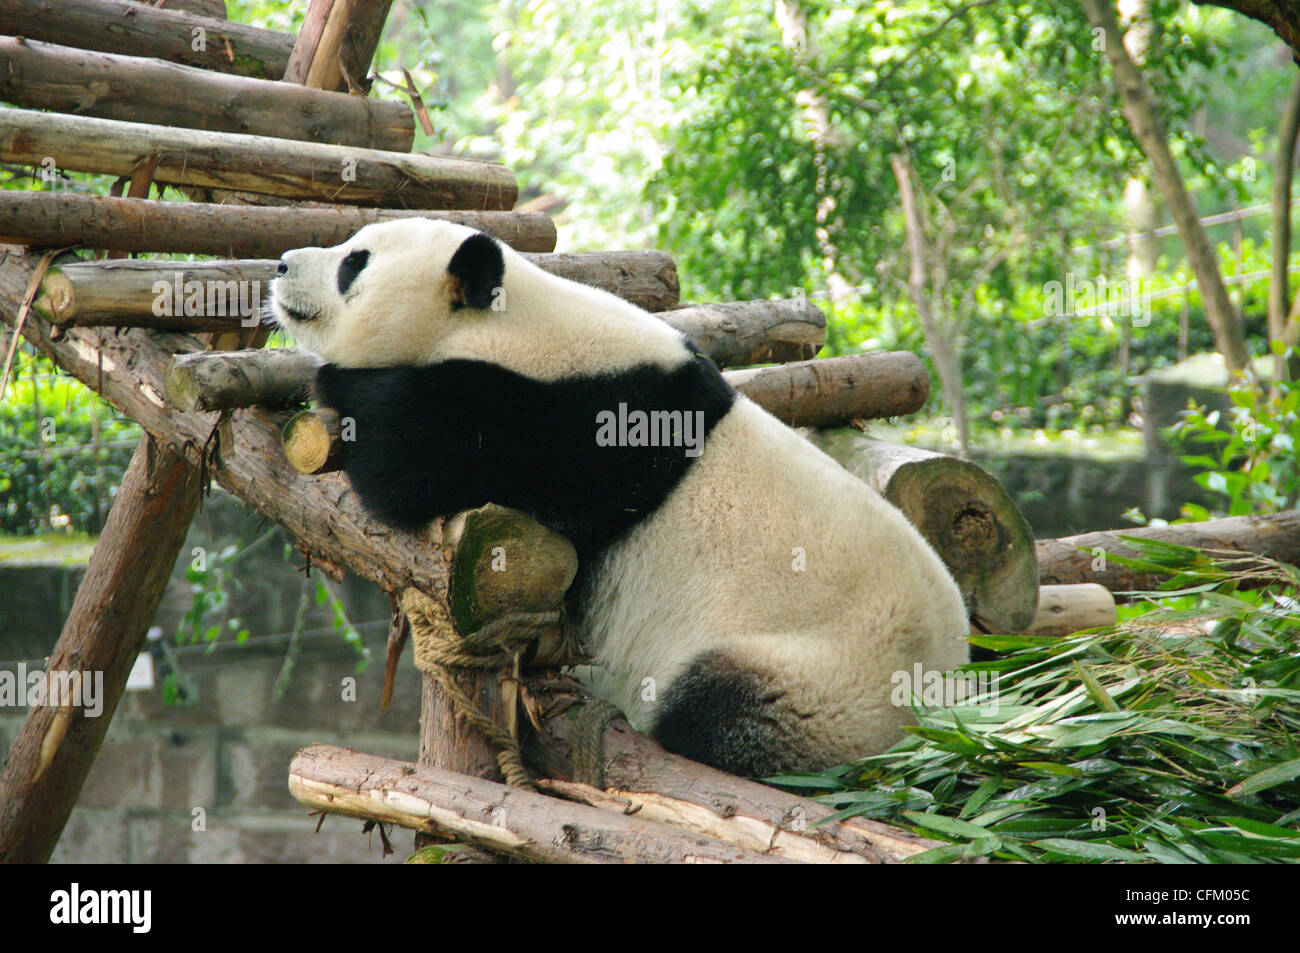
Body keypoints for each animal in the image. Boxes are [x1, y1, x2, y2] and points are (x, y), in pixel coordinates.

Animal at [271, 218, 969, 777]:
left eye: (354, 263)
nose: (280, 265)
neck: (520, 323)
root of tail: (946, 708)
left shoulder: (581, 426)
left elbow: (412, 464)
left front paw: (341, 384)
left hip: (828, 676)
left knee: (726, 709)